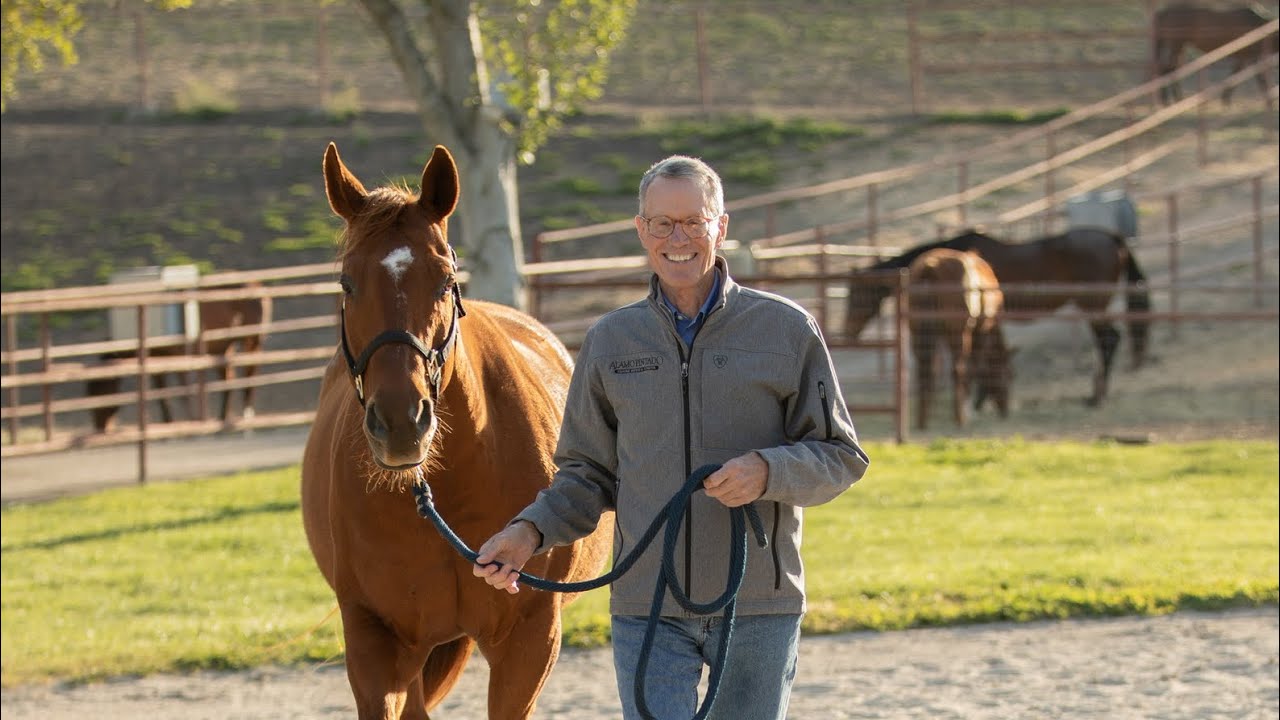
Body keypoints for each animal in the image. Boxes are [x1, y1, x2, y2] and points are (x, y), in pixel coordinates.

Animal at [87, 289, 271, 431]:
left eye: (99, 389)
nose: (100, 427)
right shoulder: (157, 364)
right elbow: (163, 396)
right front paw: (169, 424)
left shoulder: (179, 359)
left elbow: (184, 392)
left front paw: (191, 422)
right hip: (223, 350)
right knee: (230, 380)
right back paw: (223, 419)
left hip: (250, 342)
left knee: (250, 375)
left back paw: (246, 419)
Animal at [845, 228, 1151, 407]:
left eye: (855, 295)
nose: (848, 332)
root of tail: (1112, 238)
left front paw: (977, 398)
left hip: (1092, 305)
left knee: (1109, 339)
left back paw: (1096, 396)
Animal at [907, 249, 1012, 430]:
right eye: (1010, 375)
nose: (1005, 410)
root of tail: (930, 267)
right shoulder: (981, 331)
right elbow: (975, 367)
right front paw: (969, 409)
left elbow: (936, 368)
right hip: (957, 332)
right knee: (958, 369)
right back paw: (960, 417)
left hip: (918, 332)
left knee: (925, 370)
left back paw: (923, 420)